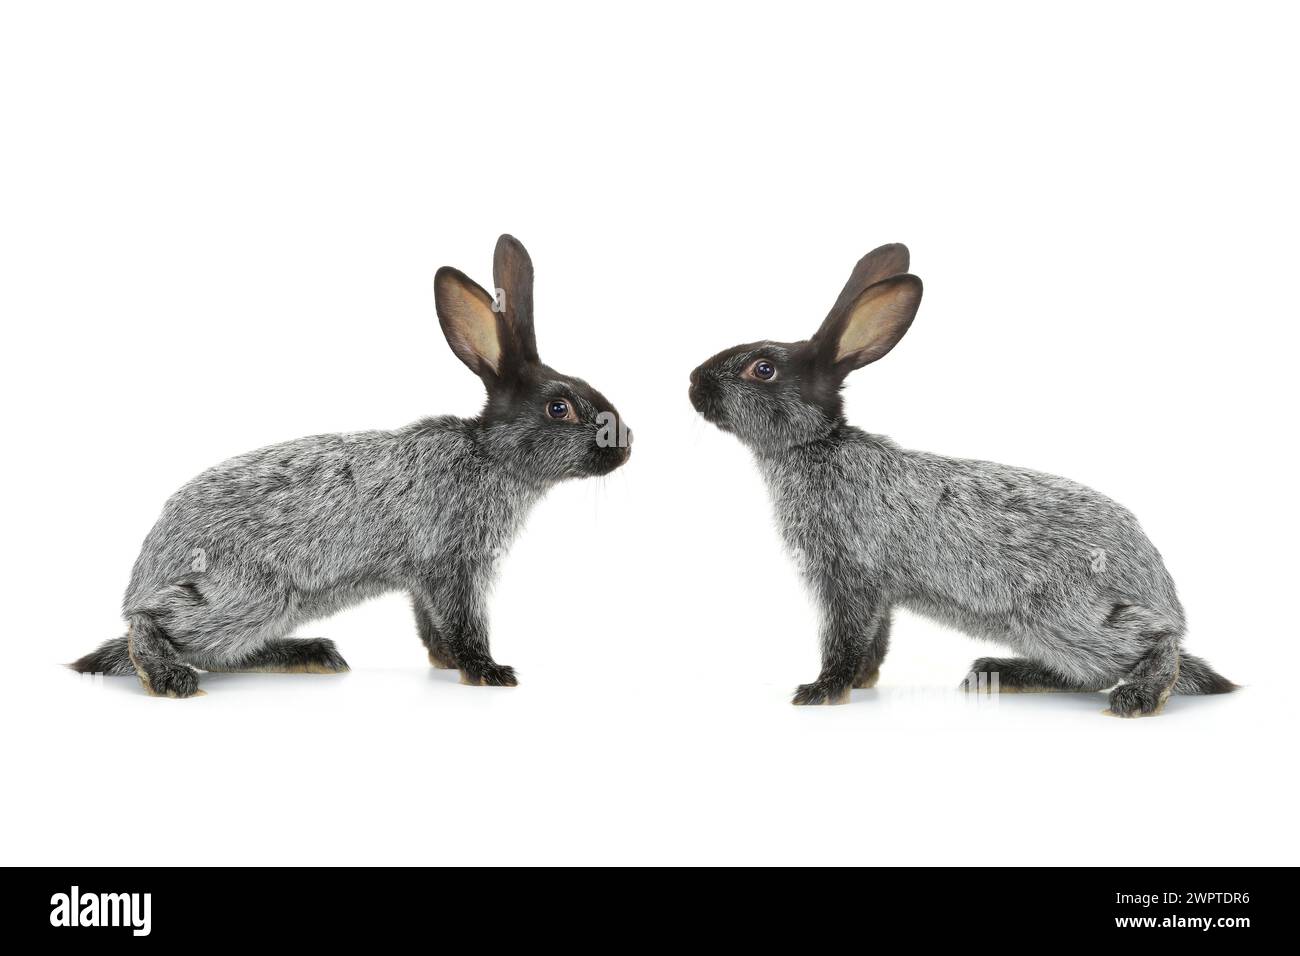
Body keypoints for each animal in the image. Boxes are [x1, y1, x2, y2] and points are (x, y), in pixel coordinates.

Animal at [72, 234, 631, 697]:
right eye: (559, 408)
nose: (626, 445)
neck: (491, 454)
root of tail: (144, 575)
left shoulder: (426, 578)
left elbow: (431, 624)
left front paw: (448, 662)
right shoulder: (453, 563)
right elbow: (463, 620)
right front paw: (488, 671)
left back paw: (312, 654)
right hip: (250, 597)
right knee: (156, 628)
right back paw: (169, 678)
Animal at [688, 243, 1235, 716]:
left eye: (763, 369)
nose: (693, 382)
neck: (816, 445)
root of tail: (1160, 590)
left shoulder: (850, 575)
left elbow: (846, 638)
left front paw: (822, 691)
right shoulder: (876, 593)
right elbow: (875, 641)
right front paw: (861, 683)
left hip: (1064, 616)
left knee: (1151, 647)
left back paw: (1138, 698)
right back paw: (999, 673)